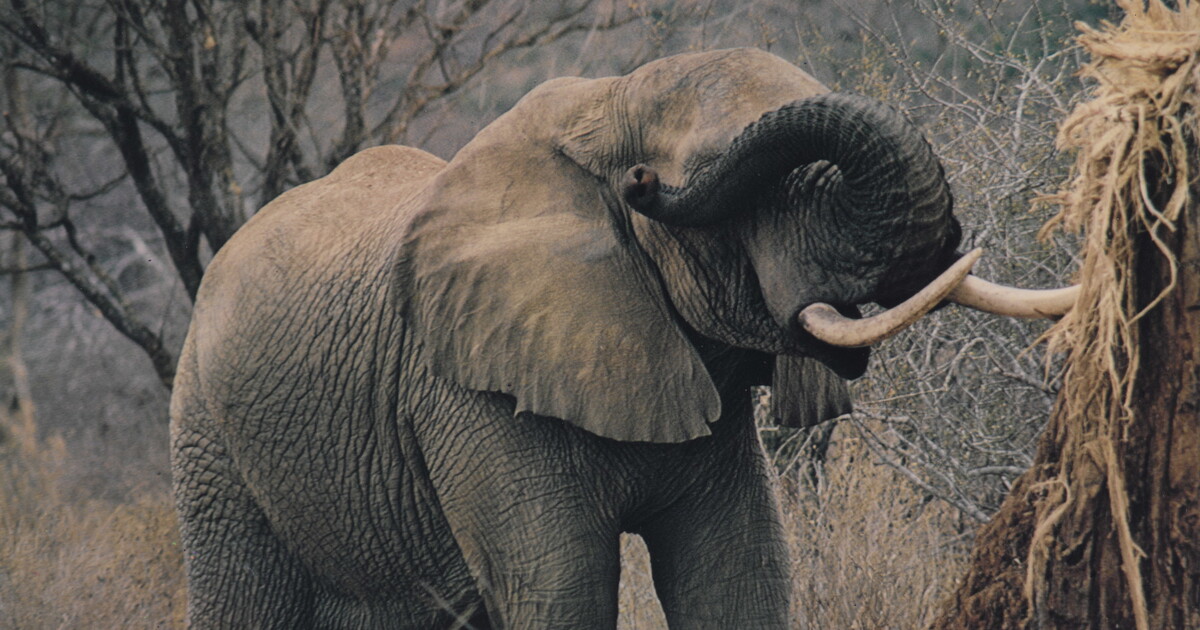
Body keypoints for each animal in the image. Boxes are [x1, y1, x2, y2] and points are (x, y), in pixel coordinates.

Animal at [170, 48, 1074, 629]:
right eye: (720, 186)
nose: (642, 183)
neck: (601, 106)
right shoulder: (473, 392)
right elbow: (560, 589)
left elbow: (737, 576)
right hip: (209, 441)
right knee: (241, 600)